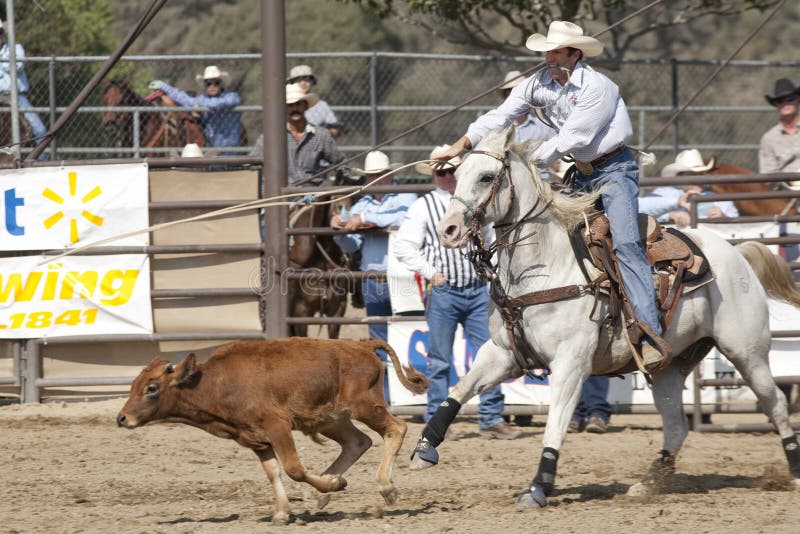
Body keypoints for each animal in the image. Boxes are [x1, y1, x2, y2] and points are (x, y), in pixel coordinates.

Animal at [116, 342, 428, 524]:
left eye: (151, 388)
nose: (122, 418)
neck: (215, 383)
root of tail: (359, 344)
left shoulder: (277, 426)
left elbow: (293, 468)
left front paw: (332, 484)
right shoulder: (255, 439)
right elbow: (273, 472)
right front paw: (282, 512)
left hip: (365, 407)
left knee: (396, 429)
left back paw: (384, 487)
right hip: (331, 419)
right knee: (357, 442)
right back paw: (327, 490)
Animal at [410, 127, 796, 508]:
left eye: (487, 176)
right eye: (457, 174)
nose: (448, 230)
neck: (546, 267)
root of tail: (735, 251)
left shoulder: (571, 363)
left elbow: (555, 423)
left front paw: (537, 487)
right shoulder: (503, 354)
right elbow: (458, 391)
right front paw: (425, 446)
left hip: (747, 352)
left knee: (775, 404)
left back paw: (793, 473)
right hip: (670, 366)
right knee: (677, 425)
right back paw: (648, 483)